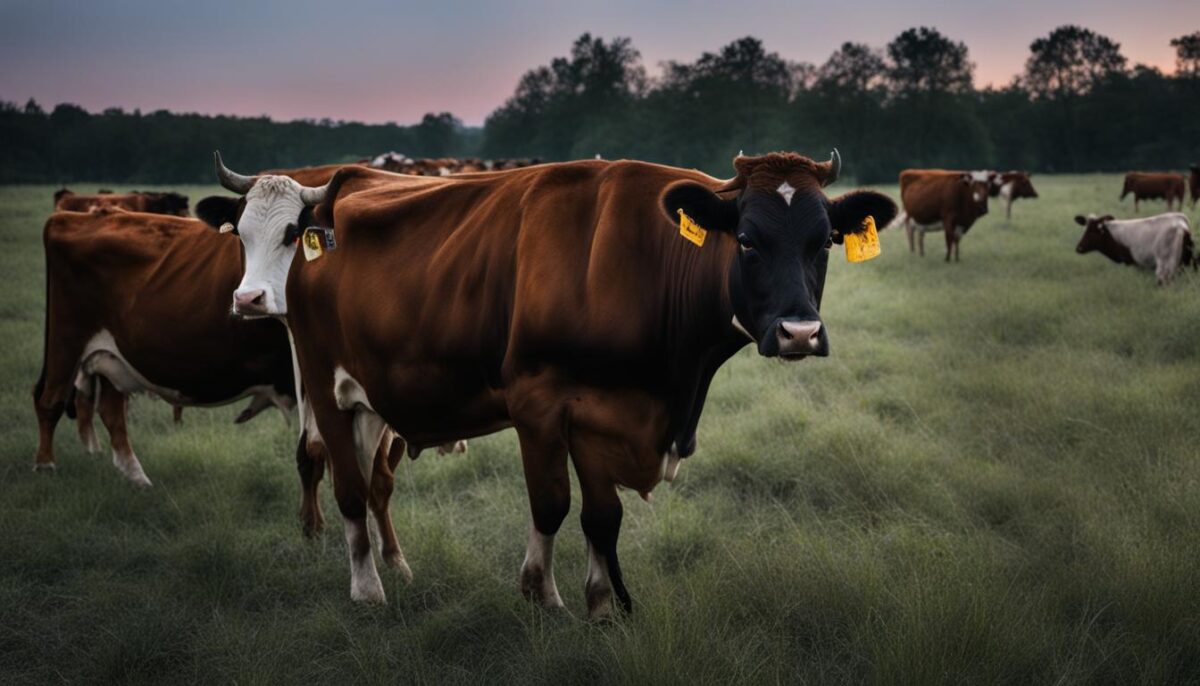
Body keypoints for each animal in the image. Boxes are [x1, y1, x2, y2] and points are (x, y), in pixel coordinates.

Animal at [205, 149, 897, 613]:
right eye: (748, 240)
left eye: (824, 243)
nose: (800, 334)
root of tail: (342, 187)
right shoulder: (539, 405)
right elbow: (552, 504)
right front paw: (542, 594)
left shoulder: (603, 414)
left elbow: (602, 517)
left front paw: (604, 602)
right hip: (323, 382)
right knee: (347, 485)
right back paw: (367, 588)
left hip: (373, 399)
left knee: (374, 483)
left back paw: (394, 569)